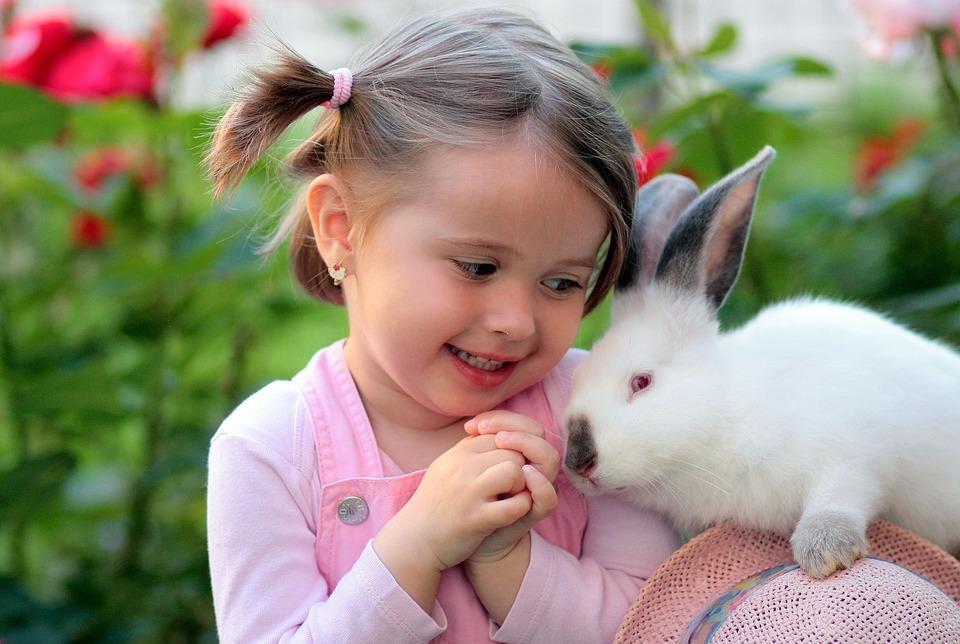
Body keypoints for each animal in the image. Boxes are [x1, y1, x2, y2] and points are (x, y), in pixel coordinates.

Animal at [563, 146, 960, 578]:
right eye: (577, 377)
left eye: (642, 381)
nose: (578, 461)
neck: (727, 409)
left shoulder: (853, 456)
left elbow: (840, 497)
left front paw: (824, 552)